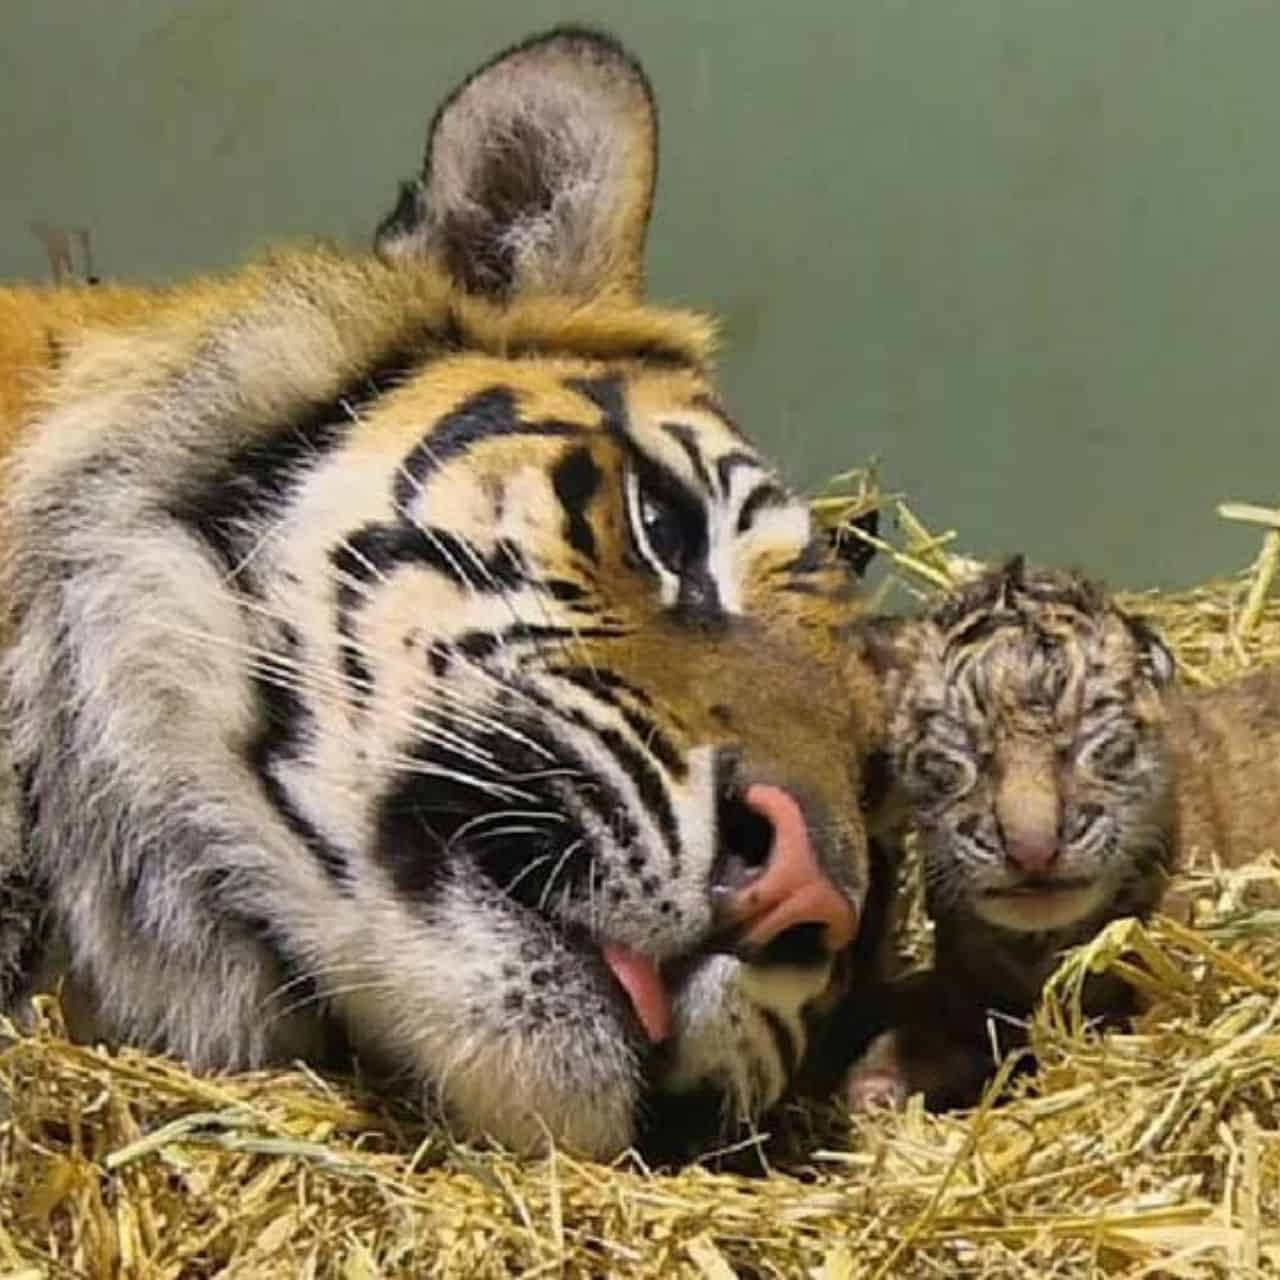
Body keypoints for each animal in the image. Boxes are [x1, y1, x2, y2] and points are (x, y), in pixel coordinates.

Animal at [837, 556, 1280, 1111]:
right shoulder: (969, 994)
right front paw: (874, 1083)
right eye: (964, 751)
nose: (1032, 850)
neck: (1035, 950)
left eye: (1085, 743)